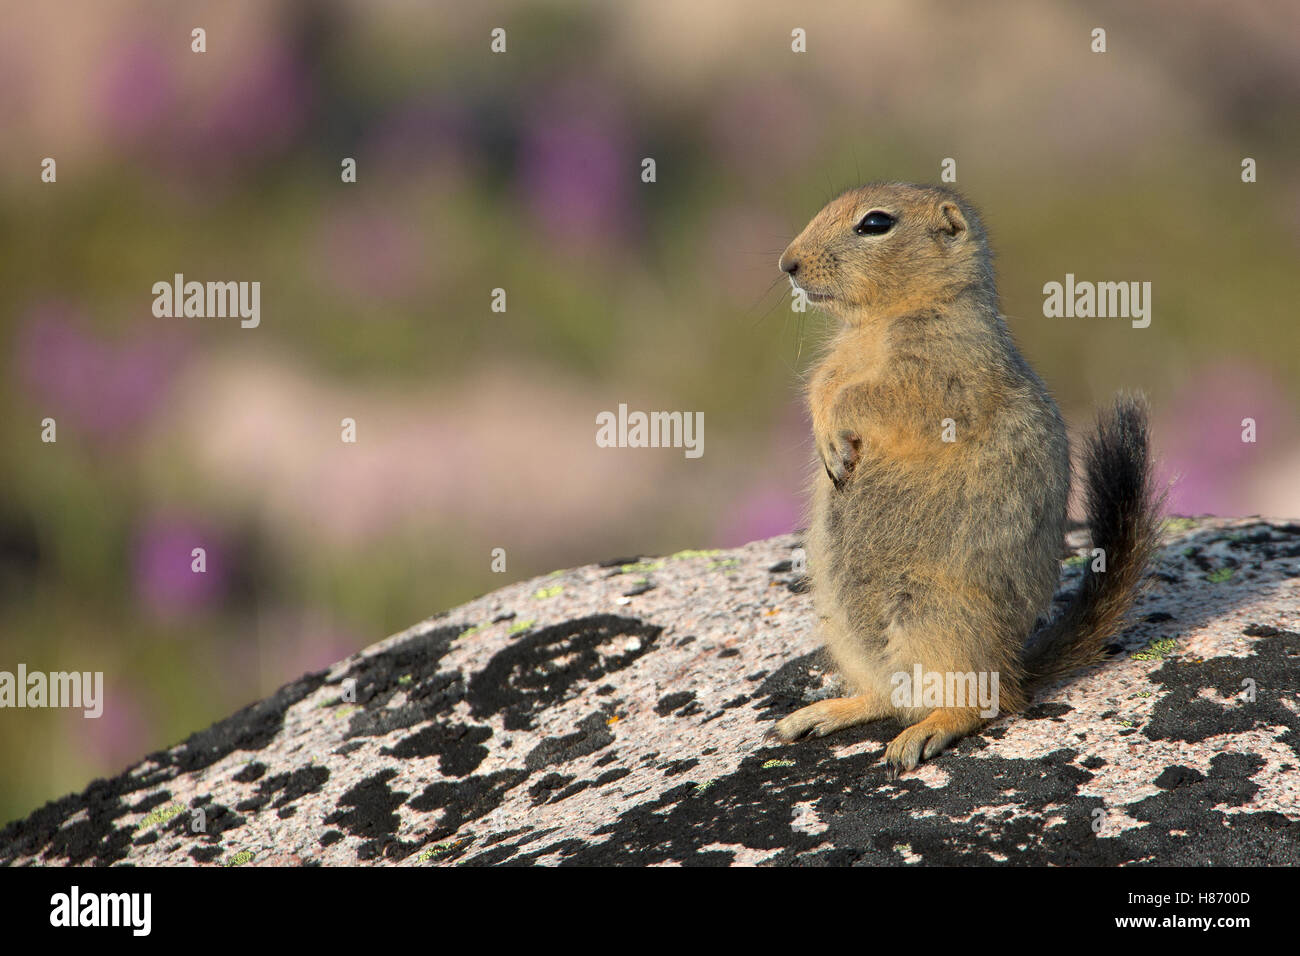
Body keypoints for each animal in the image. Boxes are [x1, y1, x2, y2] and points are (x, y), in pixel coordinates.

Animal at [769, 182, 1161, 774]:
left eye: (875, 223)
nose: (787, 263)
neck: (878, 323)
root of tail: (1014, 667)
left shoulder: (940, 372)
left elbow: (869, 397)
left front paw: (837, 430)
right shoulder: (838, 358)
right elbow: (823, 382)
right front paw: (826, 443)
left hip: (935, 618)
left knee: (978, 704)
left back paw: (924, 734)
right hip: (844, 624)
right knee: (888, 697)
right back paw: (823, 713)